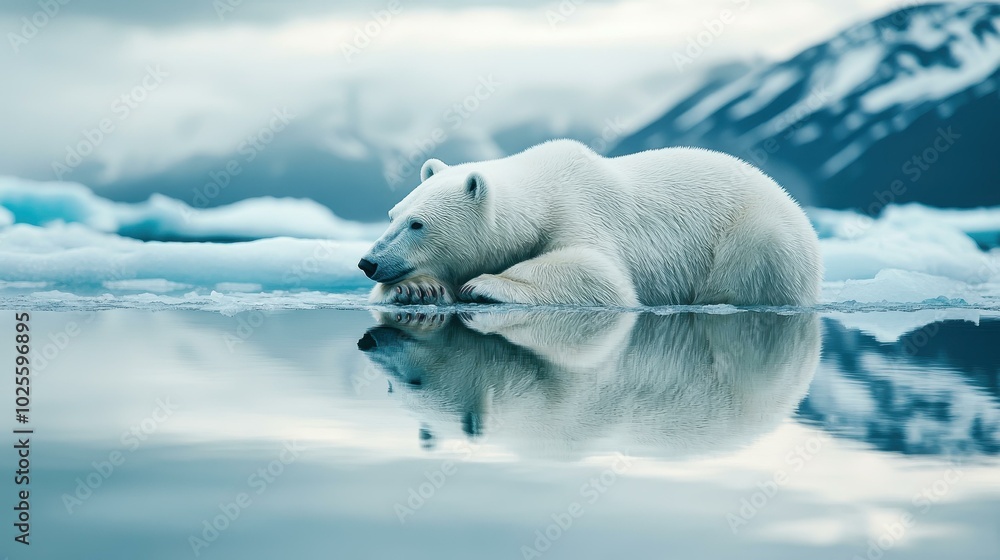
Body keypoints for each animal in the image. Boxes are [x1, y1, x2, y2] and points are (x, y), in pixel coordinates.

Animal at [359, 139, 821, 306]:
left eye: (417, 224)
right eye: (393, 215)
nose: (369, 262)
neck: (545, 188)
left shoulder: (582, 211)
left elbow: (598, 275)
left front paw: (485, 283)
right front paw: (419, 289)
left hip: (756, 237)